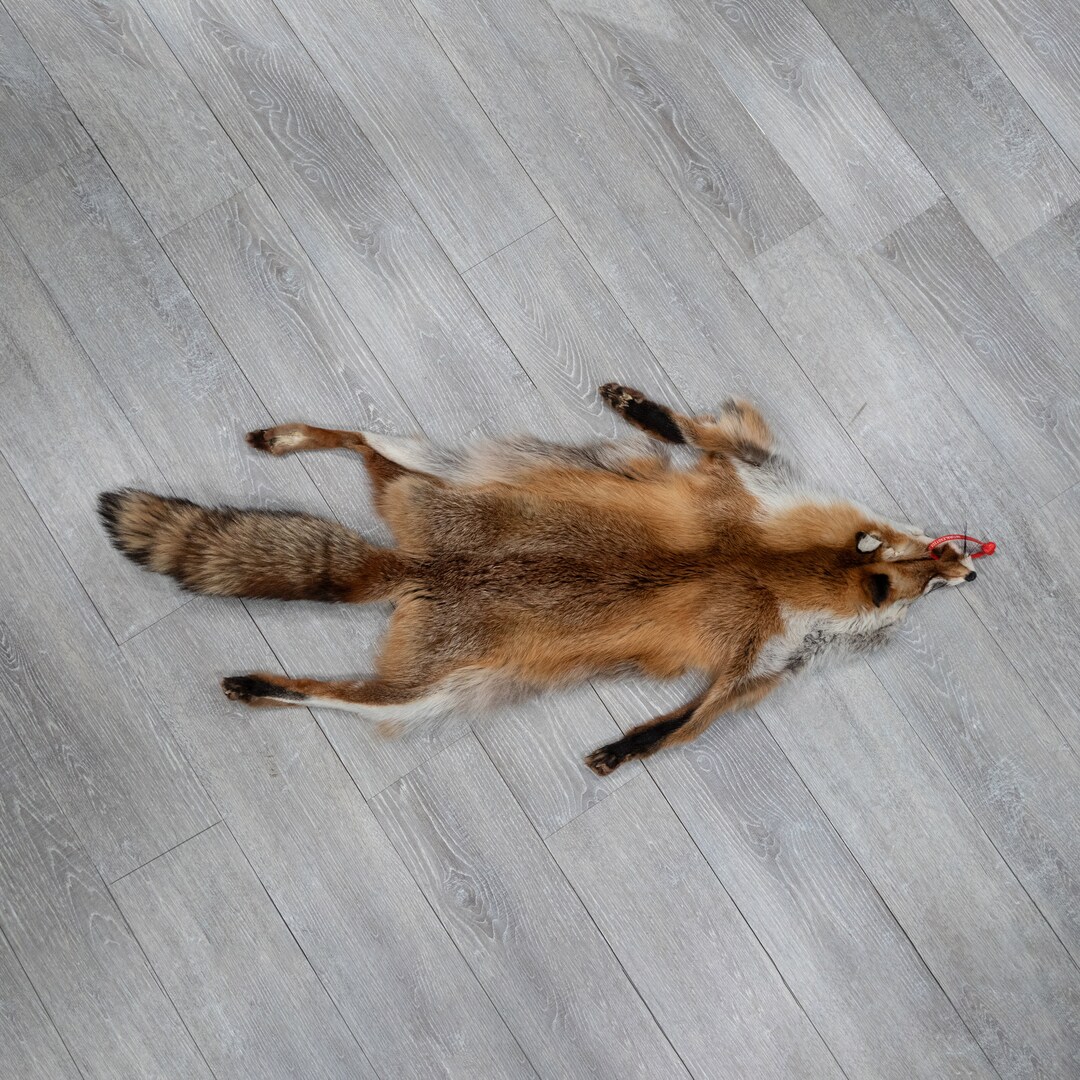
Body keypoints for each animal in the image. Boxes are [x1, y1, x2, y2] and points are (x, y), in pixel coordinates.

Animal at [99, 384, 977, 775]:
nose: (971, 569)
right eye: (935, 558)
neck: (796, 567)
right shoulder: (758, 645)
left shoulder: (740, 501)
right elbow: (683, 725)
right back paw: (259, 683)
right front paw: (626, 751)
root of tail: (408, 568)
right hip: (428, 690)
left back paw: (281, 438)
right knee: (333, 696)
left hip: (422, 480)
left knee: (358, 442)